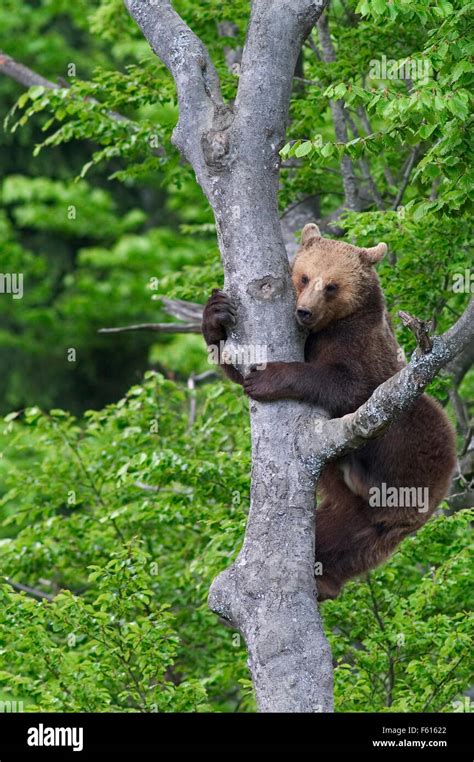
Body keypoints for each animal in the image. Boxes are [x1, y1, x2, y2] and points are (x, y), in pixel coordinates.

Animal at [201, 223, 457, 601]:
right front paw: (216, 314)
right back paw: (323, 578)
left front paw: (267, 378)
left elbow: (348, 384)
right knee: (339, 533)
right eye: (304, 277)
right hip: (354, 508)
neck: (324, 328)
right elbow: (236, 359)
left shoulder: (363, 350)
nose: (304, 311)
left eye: (332, 285)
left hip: (416, 450)